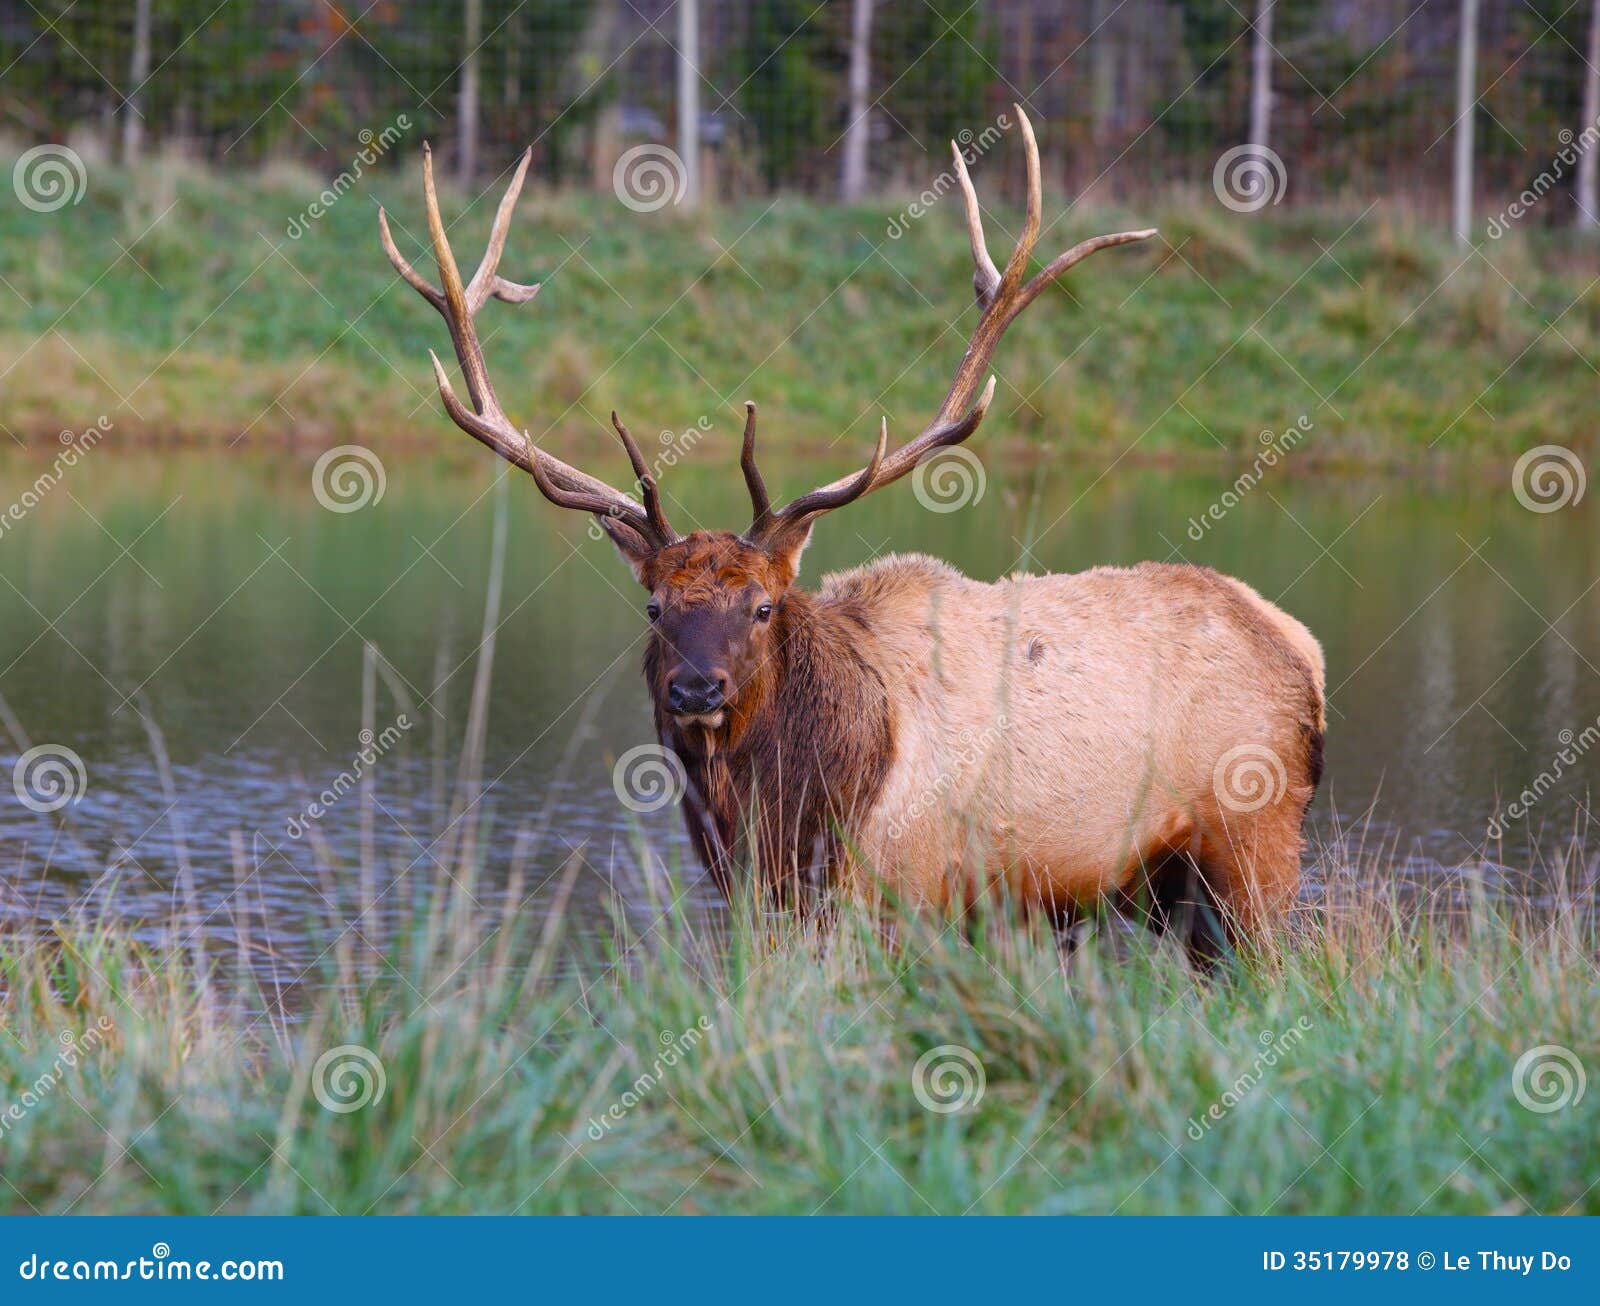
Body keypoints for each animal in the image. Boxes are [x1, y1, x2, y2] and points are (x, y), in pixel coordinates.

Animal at [379, 109, 1326, 960]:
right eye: (654, 609)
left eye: (763, 607)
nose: (696, 687)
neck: (787, 806)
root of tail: (1302, 648)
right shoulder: (758, 897)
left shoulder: (902, 891)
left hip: (1255, 847)